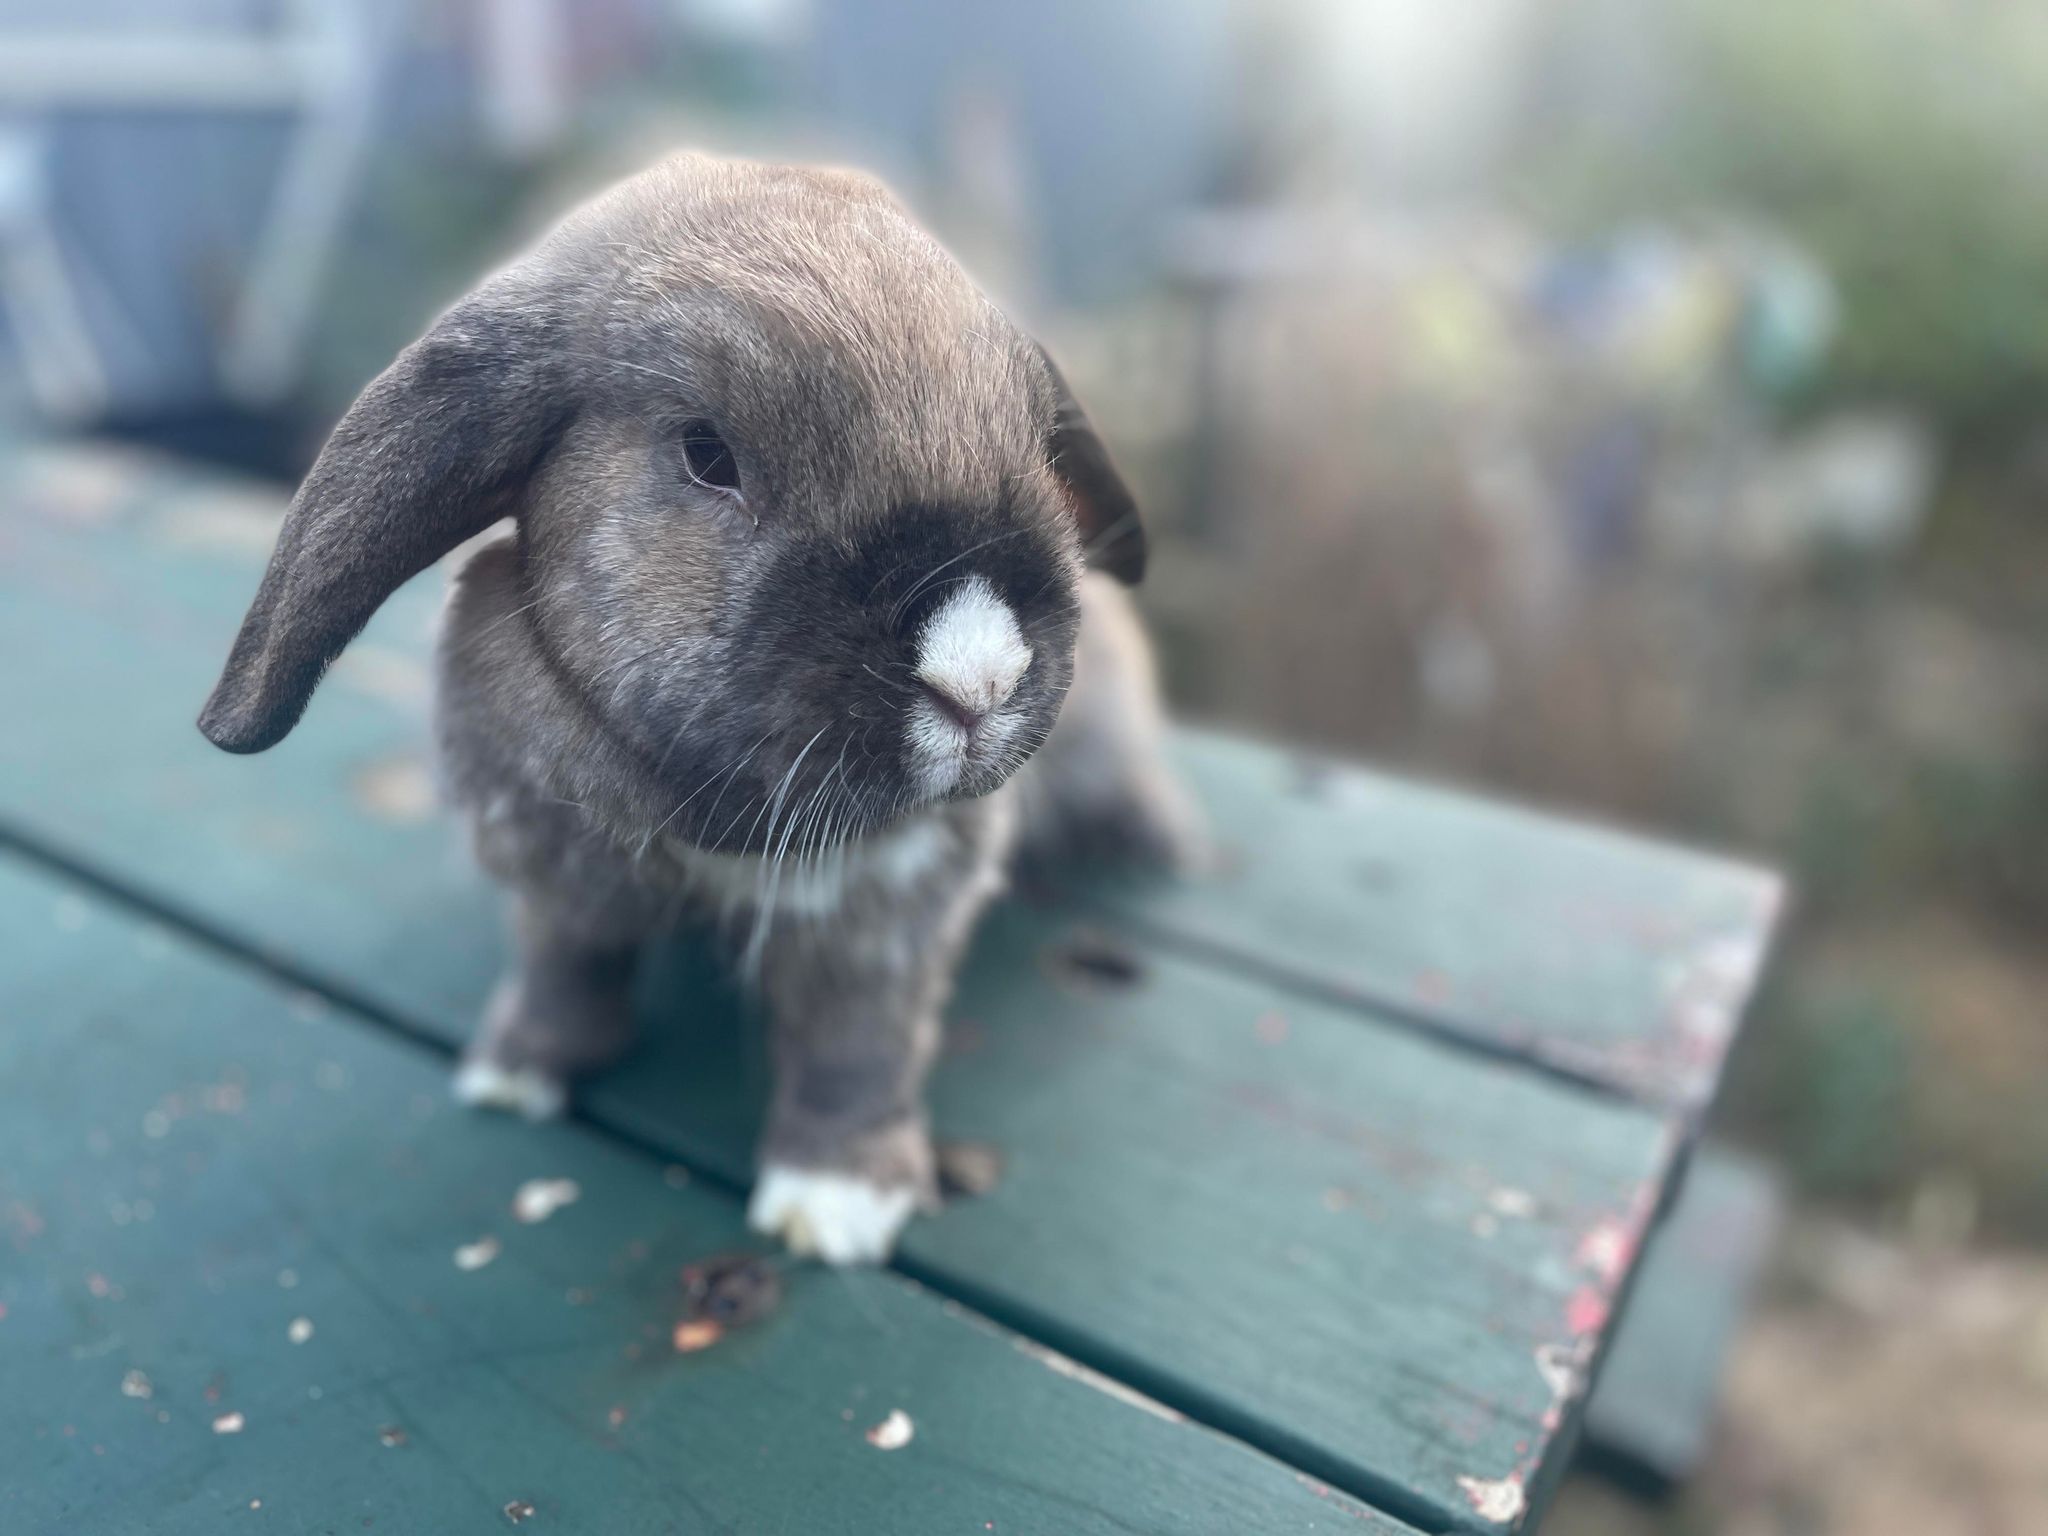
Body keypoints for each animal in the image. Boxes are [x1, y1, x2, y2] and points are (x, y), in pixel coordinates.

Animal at [198, 153, 1201, 1264]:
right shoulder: (557, 889)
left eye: (1035, 448)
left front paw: (837, 1206)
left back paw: (1160, 845)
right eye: (707, 454)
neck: (711, 813)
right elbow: (564, 972)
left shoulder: (885, 926)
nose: (978, 675)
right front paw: (514, 1072)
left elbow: (856, 1051)